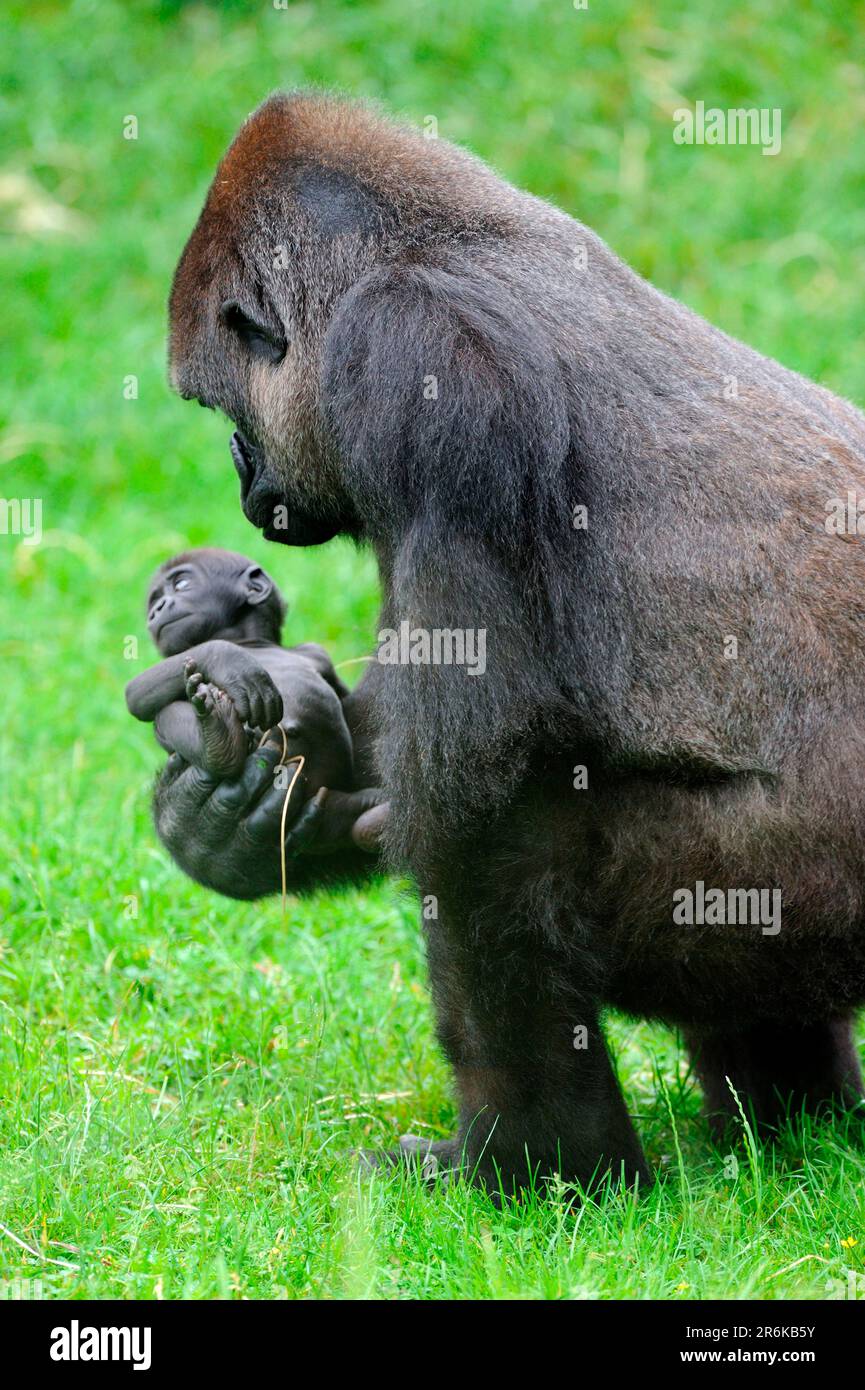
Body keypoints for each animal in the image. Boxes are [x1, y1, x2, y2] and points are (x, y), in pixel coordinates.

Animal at [125, 547, 354, 802]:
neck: (252, 642)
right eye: (154, 602)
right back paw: (221, 743)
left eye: (181, 583)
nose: (156, 611)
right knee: (165, 713)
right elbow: (136, 691)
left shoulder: (316, 652)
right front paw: (228, 660)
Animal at [159, 90, 865, 1195]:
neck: (427, 243)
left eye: (217, 404)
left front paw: (531, 1160)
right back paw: (796, 1121)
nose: (240, 472)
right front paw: (243, 819)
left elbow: (476, 806)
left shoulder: (421, 365)